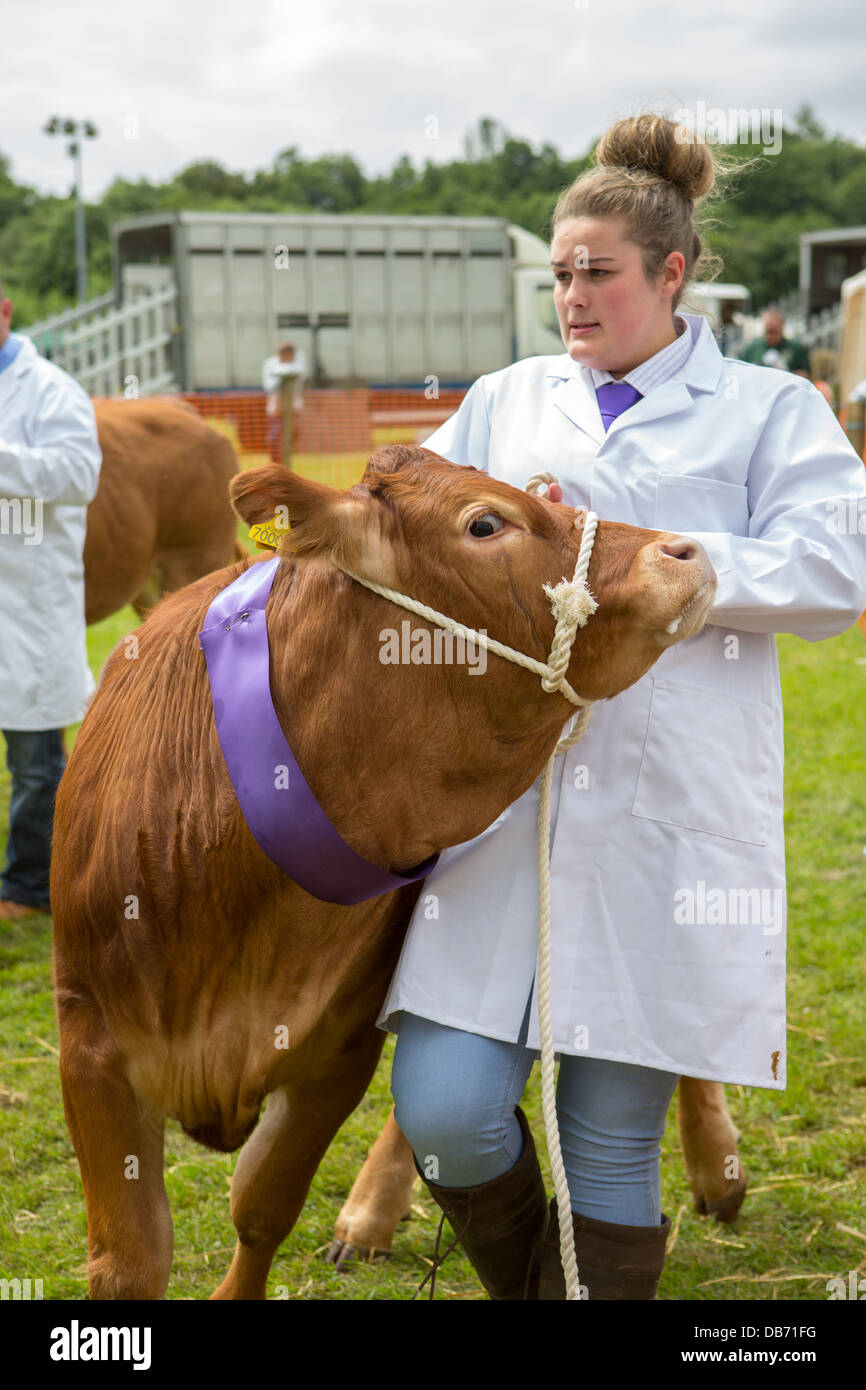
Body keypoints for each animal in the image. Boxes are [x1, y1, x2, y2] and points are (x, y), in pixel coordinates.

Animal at [51, 443, 718, 1300]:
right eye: (486, 522)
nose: (686, 550)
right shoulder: (90, 1045)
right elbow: (131, 1263)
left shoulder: (339, 1050)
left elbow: (262, 1205)